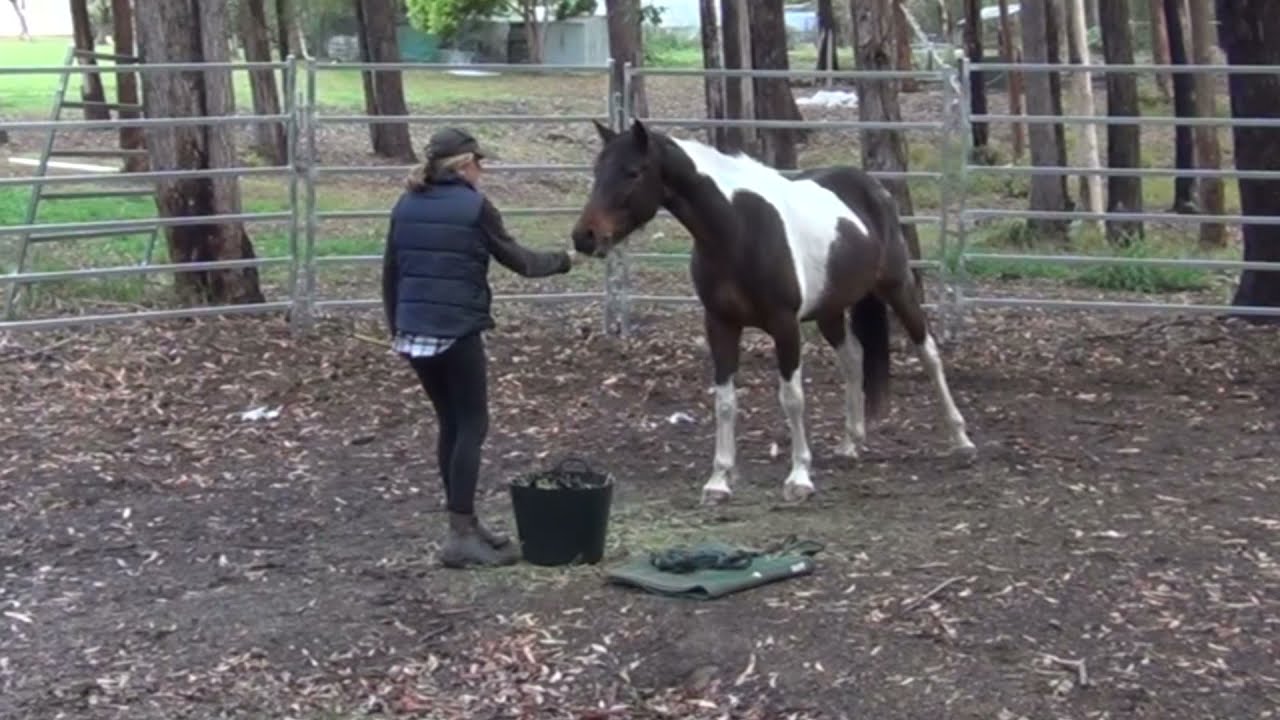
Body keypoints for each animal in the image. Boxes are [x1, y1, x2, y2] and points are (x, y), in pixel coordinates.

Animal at [570, 119, 976, 505]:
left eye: (633, 172)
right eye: (597, 169)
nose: (584, 236)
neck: (738, 231)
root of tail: (873, 187)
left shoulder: (785, 326)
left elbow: (792, 398)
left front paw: (799, 478)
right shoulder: (719, 325)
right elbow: (725, 402)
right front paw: (718, 481)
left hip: (898, 288)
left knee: (929, 354)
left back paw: (961, 440)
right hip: (830, 311)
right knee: (853, 358)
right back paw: (851, 442)